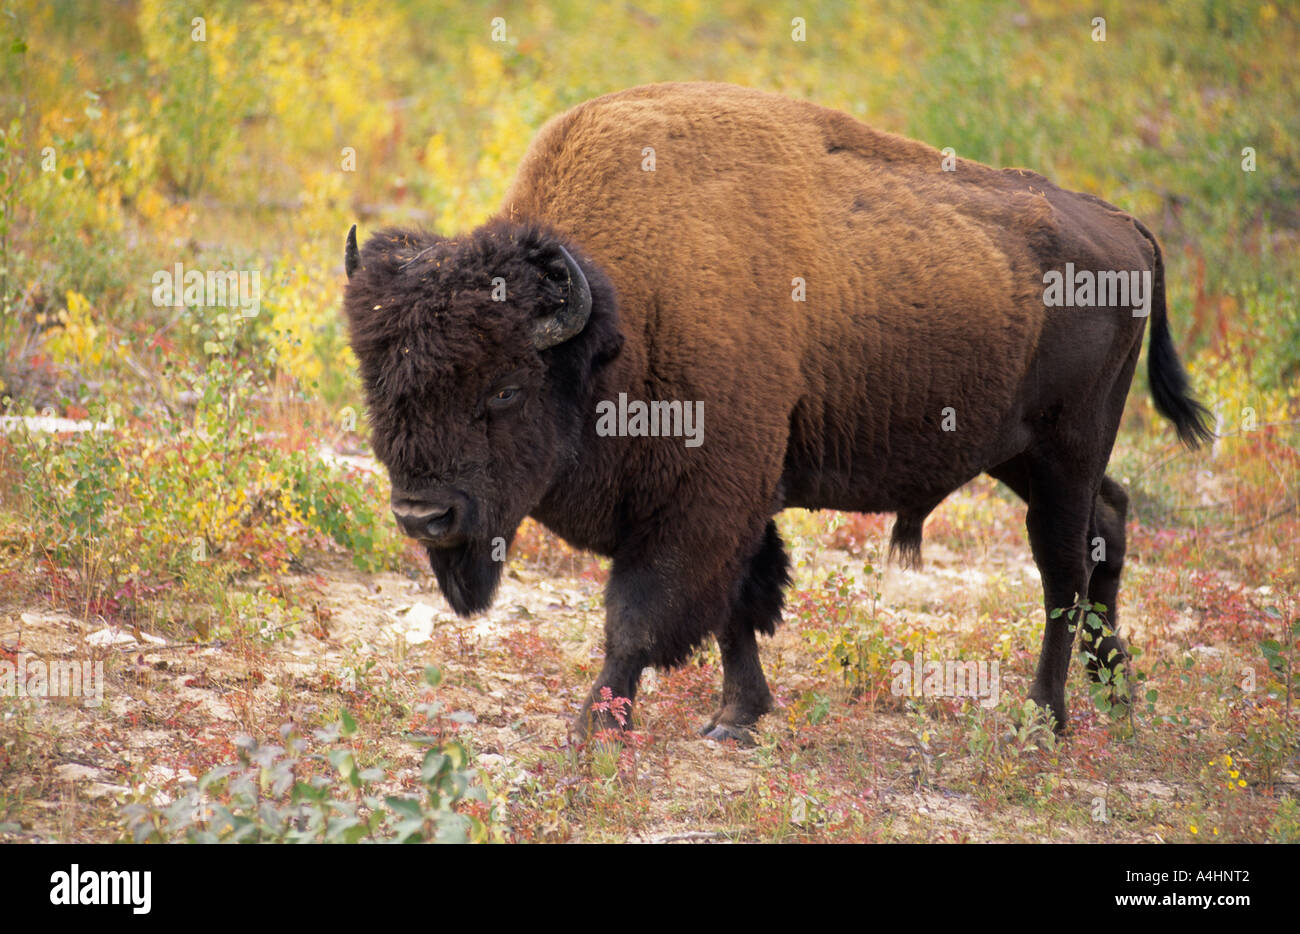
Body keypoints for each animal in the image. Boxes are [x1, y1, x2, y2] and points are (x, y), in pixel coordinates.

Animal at [342, 82, 1212, 740]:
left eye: (505, 390)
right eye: (375, 383)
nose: (422, 515)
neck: (619, 320)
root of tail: (1127, 228)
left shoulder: (700, 503)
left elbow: (642, 616)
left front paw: (597, 724)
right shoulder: (738, 500)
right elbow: (741, 603)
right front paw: (737, 716)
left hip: (1066, 450)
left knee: (1063, 568)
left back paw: (1044, 719)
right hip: (1021, 454)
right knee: (1110, 523)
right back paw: (1116, 694)